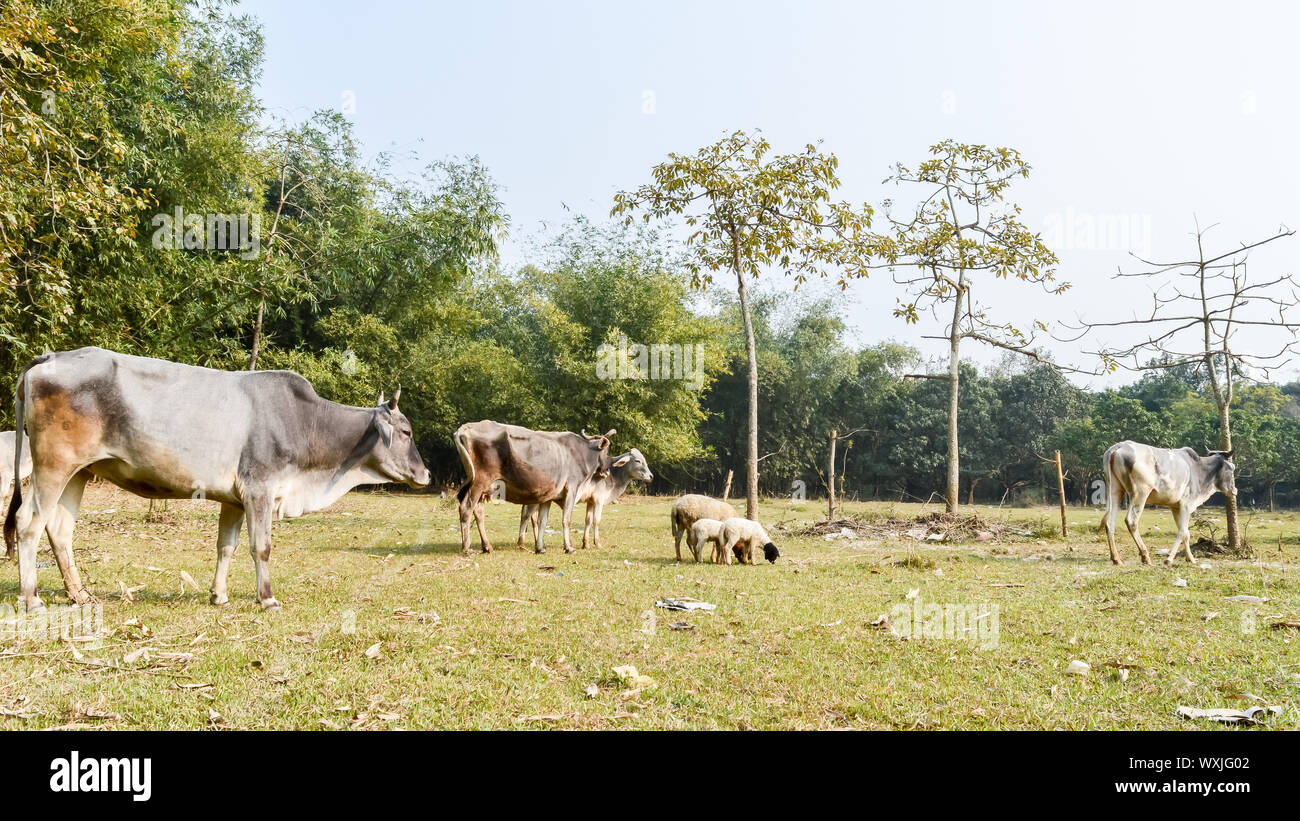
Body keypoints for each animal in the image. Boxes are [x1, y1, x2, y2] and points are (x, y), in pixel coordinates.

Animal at [3, 347, 430, 612]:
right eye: (406, 431)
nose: (426, 473)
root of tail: (51, 357)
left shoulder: (234, 499)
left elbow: (226, 547)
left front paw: (219, 595)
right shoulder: (260, 488)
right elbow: (261, 547)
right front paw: (267, 599)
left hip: (80, 472)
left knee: (60, 529)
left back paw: (80, 595)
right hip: (54, 466)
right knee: (28, 523)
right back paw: (33, 598)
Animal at [454, 421, 615, 555]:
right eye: (607, 451)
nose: (607, 472)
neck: (582, 452)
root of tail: (465, 427)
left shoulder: (549, 495)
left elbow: (542, 521)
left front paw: (540, 548)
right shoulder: (572, 488)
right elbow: (566, 519)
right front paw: (569, 547)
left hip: (484, 487)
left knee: (478, 512)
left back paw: (487, 546)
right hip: (479, 482)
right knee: (466, 508)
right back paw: (467, 549)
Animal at [515, 447, 653, 552]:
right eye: (638, 460)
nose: (651, 476)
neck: (613, 475)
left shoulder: (590, 501)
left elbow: (588, 521)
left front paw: (585, 543)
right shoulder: (598, 500)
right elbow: (596, 521)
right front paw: (597, 543)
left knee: (532, 517)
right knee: (526, 516)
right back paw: (522, 543)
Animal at [1099, 440, 1236, 566]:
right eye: (1232, 468)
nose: (1234, 490)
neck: (1199, 470)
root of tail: (1119, 446)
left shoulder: (1175, 507)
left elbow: (1186, 533)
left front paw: (1190, 558)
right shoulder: (1186, 505)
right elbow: (1182, 531)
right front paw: (1169, 558)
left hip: (1115, 491)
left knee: (1110, 524)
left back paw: (1116, 559)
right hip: (1140, 493)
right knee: (1131, 521)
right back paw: (1145, 556)